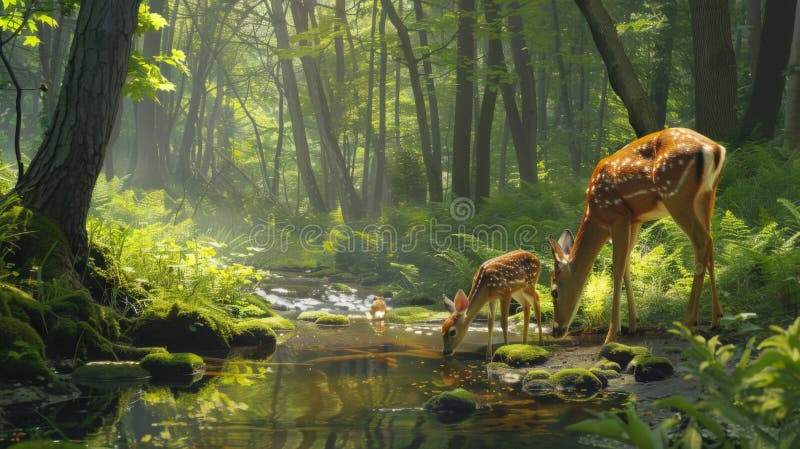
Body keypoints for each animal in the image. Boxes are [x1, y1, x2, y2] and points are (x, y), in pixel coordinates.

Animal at [548, 128, 726, 344]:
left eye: (554, 292)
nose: (556, 330)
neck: (596, 214)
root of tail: (714, 149)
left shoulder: (617, 216)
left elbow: (617, 268)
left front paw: (612, 333)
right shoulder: (635, 220)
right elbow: (627, 265)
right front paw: (633, 324)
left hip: (676, 195)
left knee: (701, 241)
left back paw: (688, 322)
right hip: (707, 195)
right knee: (711, 242)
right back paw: (716, 318)